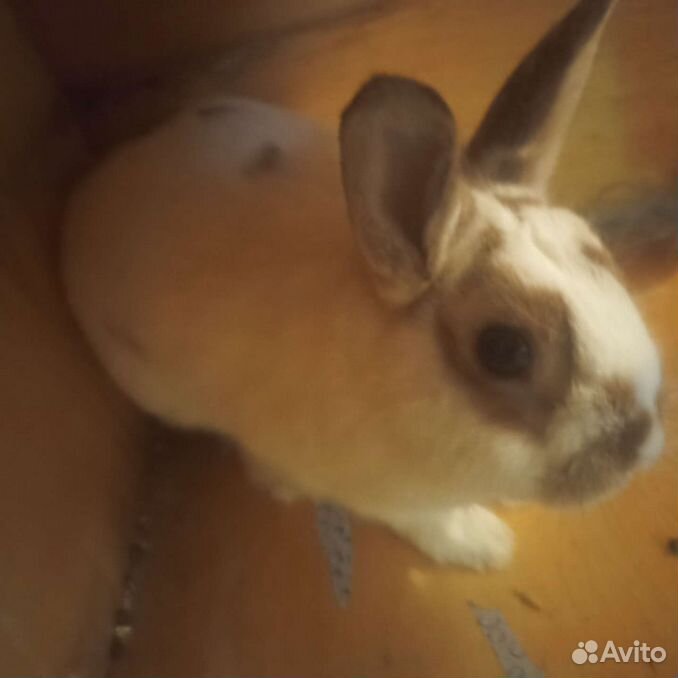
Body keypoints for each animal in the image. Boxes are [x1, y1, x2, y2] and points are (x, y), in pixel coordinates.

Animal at [61, 0, 664, 570]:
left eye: (599, 250)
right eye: (505, 350)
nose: (641, 440)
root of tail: (90, 194)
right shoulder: (389, 499)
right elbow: (434, 522)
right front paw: (486, 546)